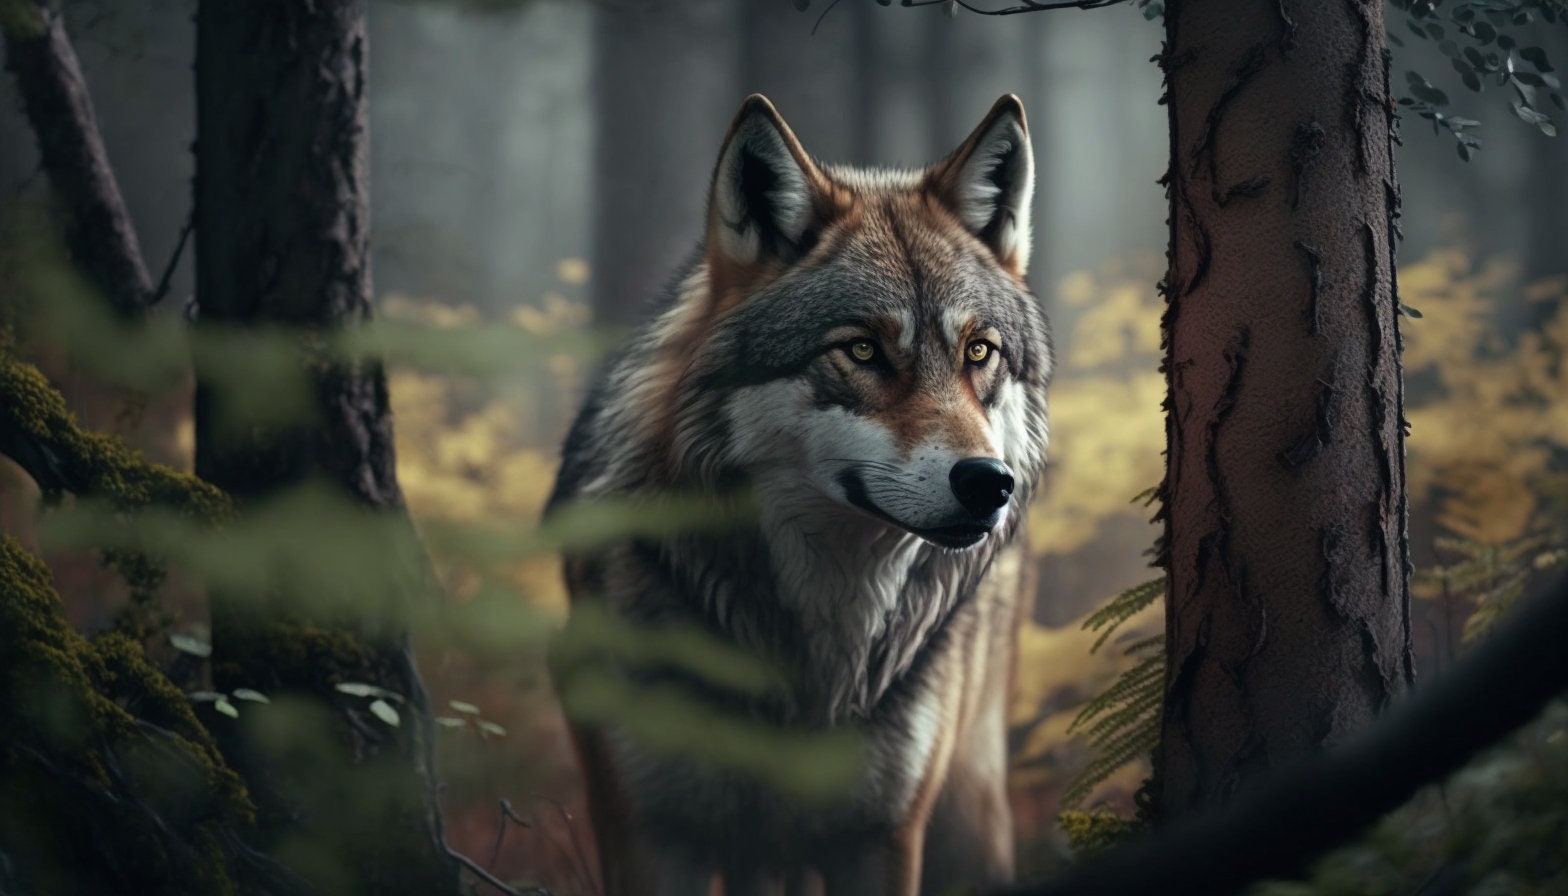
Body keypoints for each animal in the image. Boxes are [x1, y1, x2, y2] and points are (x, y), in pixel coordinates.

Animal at [547, 93, 1052, 896]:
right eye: (862, 350)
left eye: (979, 351)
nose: (988, 483)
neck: (815, 661)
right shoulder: (653, 833)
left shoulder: (880, 837)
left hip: (970, 820)